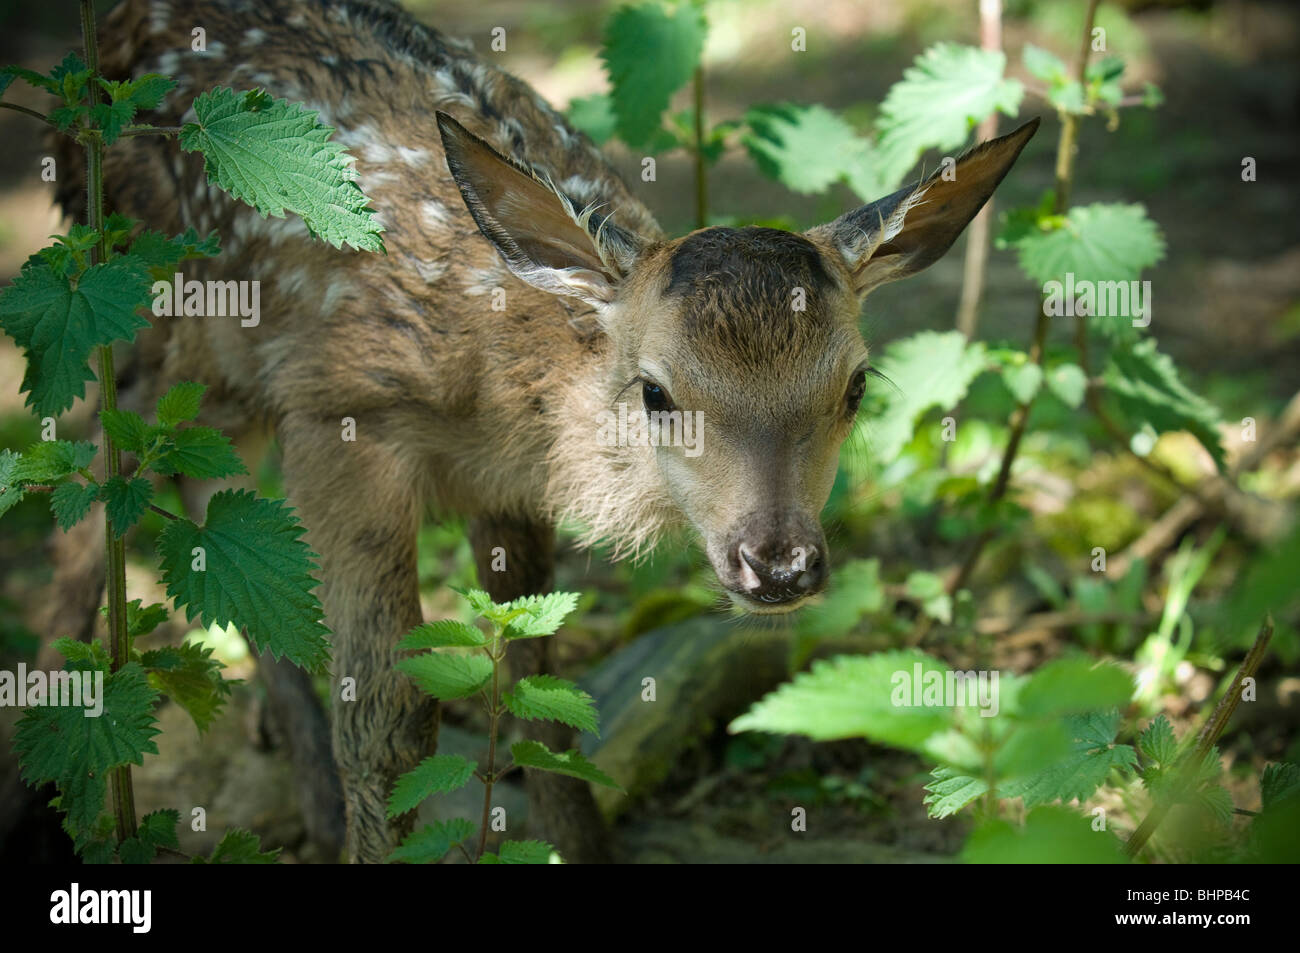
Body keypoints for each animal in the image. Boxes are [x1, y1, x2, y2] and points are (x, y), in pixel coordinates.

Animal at [40, 0, 1038, 862]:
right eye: (656, 391)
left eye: (856, 385)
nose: (780, 562)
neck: (497, 388)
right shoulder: (338, 411)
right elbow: (389, 721)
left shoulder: (509, 488)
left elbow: (535, 690)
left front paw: (581, 843)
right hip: (143, 307)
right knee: (102, 470)